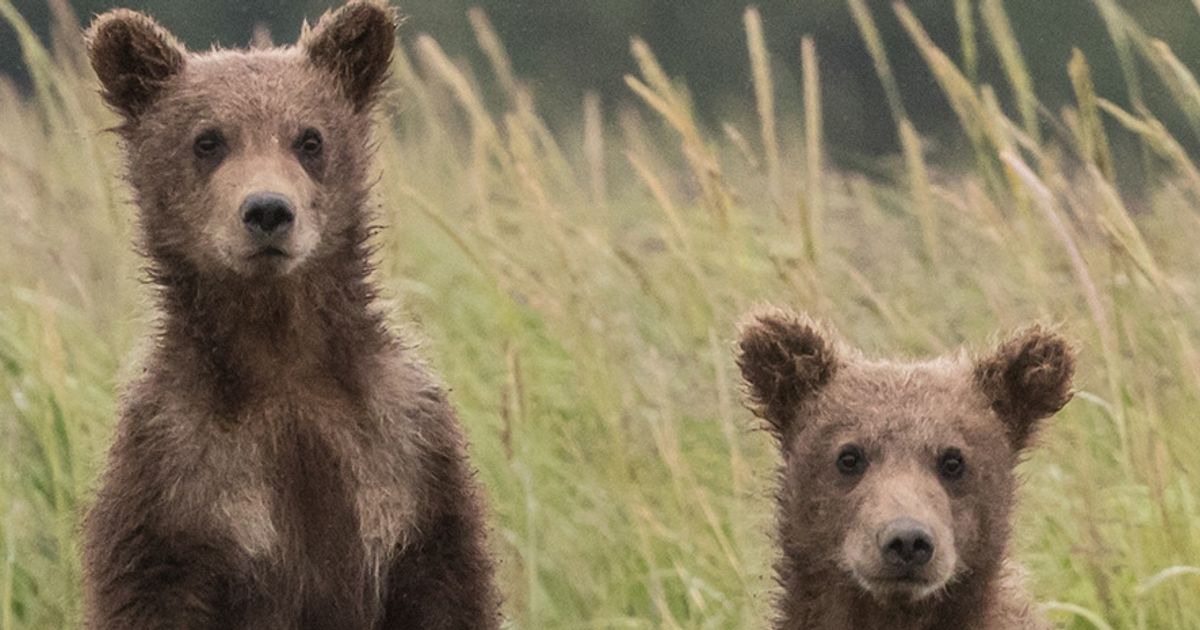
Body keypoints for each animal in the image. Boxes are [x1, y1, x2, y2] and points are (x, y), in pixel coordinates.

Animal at [80, 2, 500, 628]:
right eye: (208, 139)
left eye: (309, 138)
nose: (268, 210)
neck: (280, 355)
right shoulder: (173, 474)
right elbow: (149, 586)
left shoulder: (409, 463)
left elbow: (446, 585)